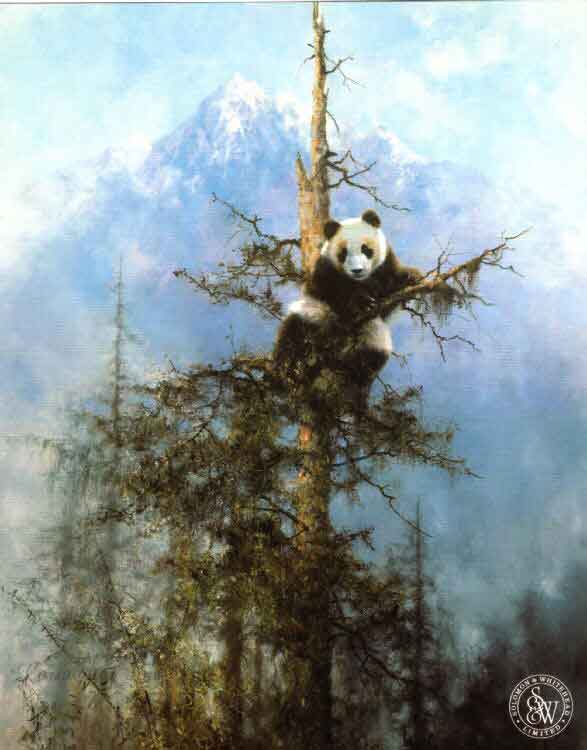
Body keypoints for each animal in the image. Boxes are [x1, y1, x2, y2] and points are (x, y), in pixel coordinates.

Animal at [273, 209, 422, 411]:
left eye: (366, 249)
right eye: (343, 253)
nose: (357, 270)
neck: (361, 281)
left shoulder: (385, 266)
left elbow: (389, 295)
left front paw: (411, 277)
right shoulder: (325, 271)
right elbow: (333, 293)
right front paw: (361, 301)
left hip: (370, 337)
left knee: (368, 362)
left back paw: (352, 393)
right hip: (316, 317)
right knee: (294, 332)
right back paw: (288, 373)